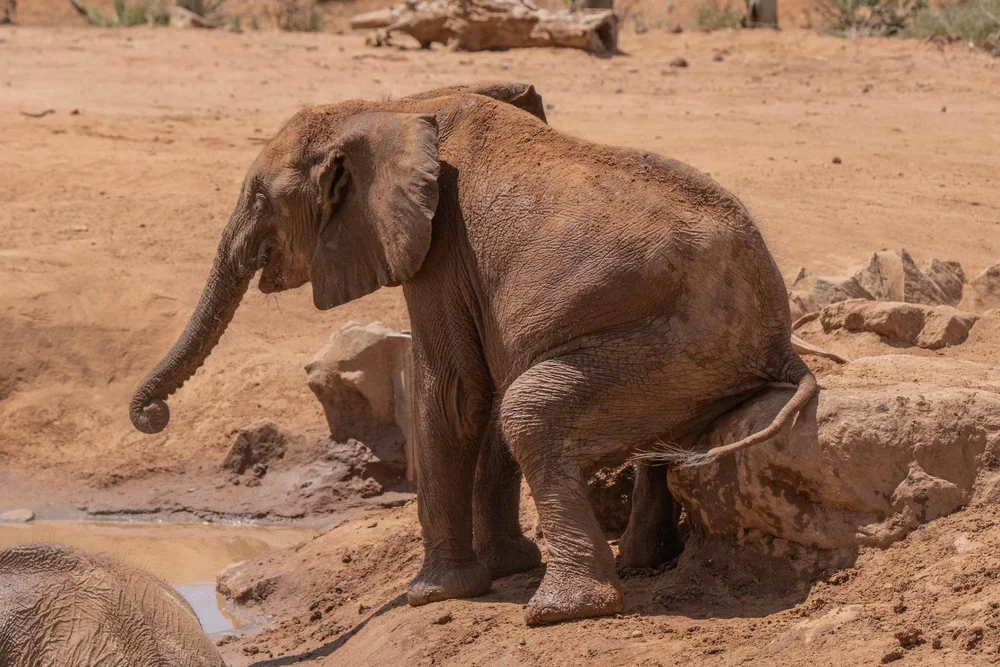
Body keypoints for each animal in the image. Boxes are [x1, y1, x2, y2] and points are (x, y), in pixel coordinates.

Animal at [128, 80, 816, 625]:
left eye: (259, 198)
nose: (152, 415)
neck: (393, 105)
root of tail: (783, 341)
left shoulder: (439, 245)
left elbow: (458, 392)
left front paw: (430, 595)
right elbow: (485, 385)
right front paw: (505, 567)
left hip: (678, 348)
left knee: (530, 409)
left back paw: (559, 611)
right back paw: (640, 565)